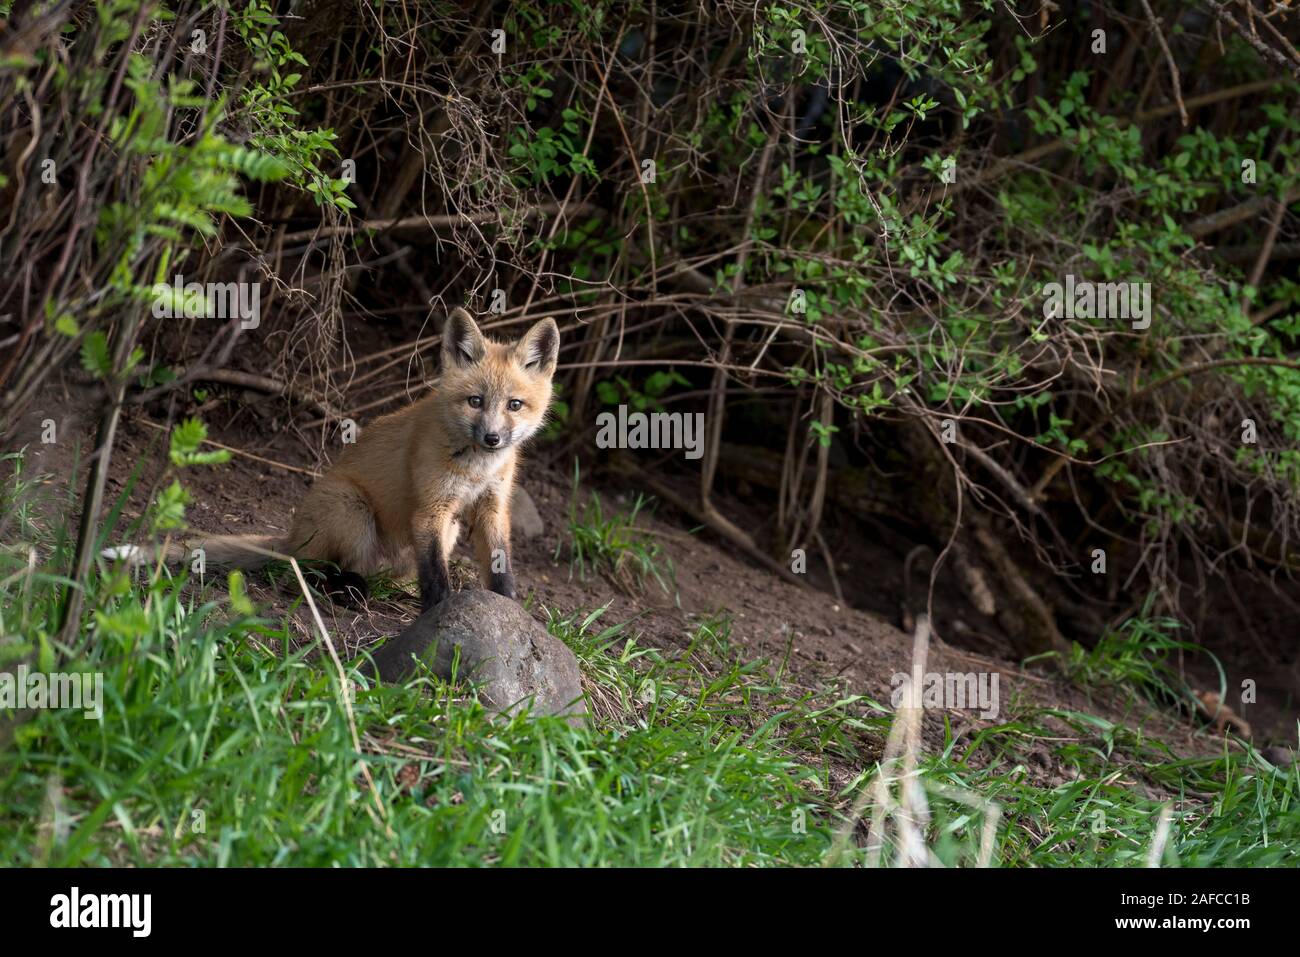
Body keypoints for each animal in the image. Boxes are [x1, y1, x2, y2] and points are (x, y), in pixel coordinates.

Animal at [113, 308, 559, 610]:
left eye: (515, 405)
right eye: (475, 401)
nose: (493, 438)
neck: (476, 469)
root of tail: (291, 534)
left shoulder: (490, 508)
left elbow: (500, 570)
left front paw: (510, 609)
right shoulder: (431, 510)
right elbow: (435, 577)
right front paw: (438, 614)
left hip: (444, 531)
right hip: (352, 510)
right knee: (308, 567)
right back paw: (343, 587)